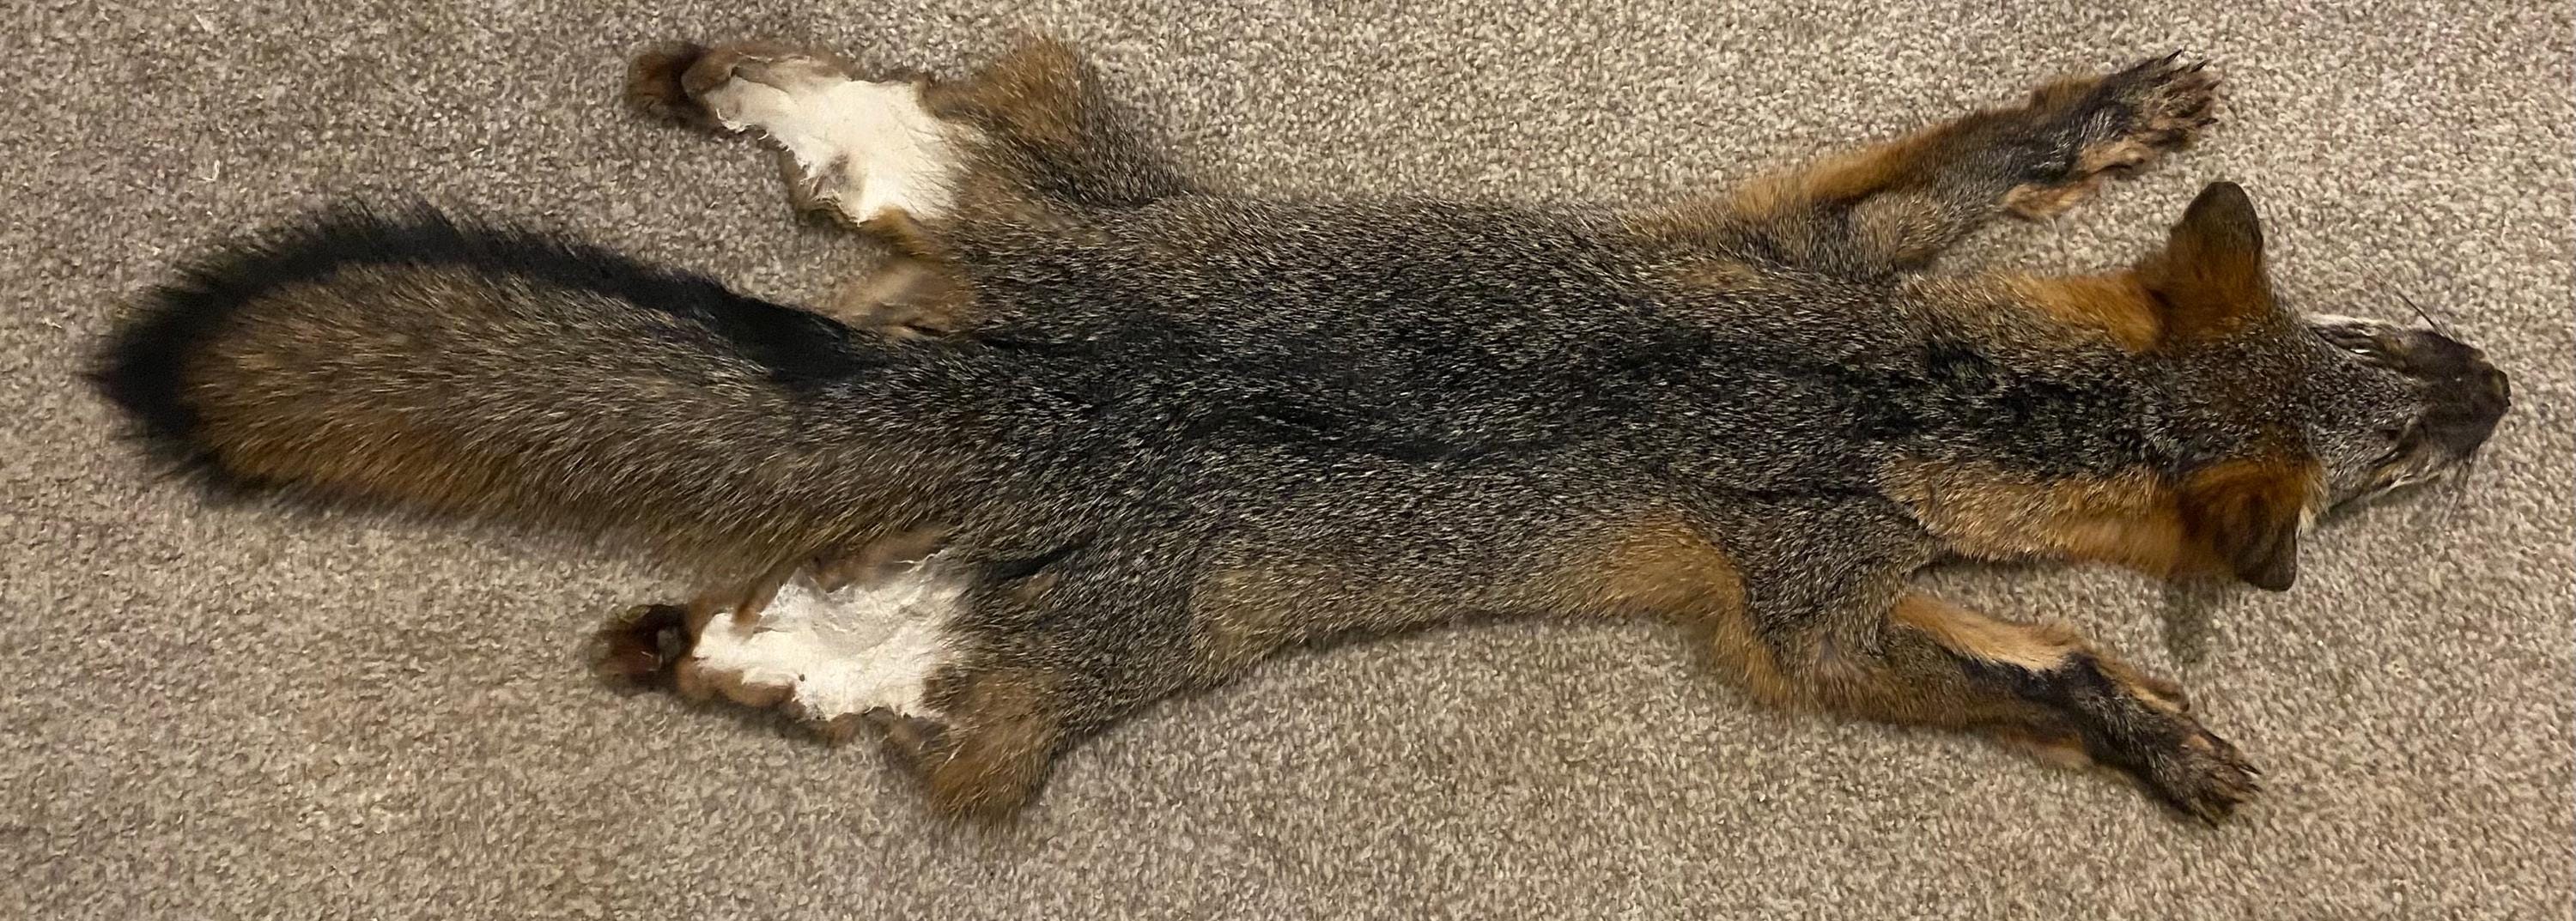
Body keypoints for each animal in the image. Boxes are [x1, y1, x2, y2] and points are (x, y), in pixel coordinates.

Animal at [89, 38, 2510, 825]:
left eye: (2378, 345)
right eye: (2381, 459)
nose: (2500, 385)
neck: (1892, 392)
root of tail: (985, 379)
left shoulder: (1838, 250)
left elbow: (1978, 159)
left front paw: (2106, 120)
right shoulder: (1804, 613)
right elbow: (2021, 670)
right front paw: (2144, 726)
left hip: (1013, 168)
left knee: (881, 154)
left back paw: (737, 99)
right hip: (1067, 665)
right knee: (910, 704)